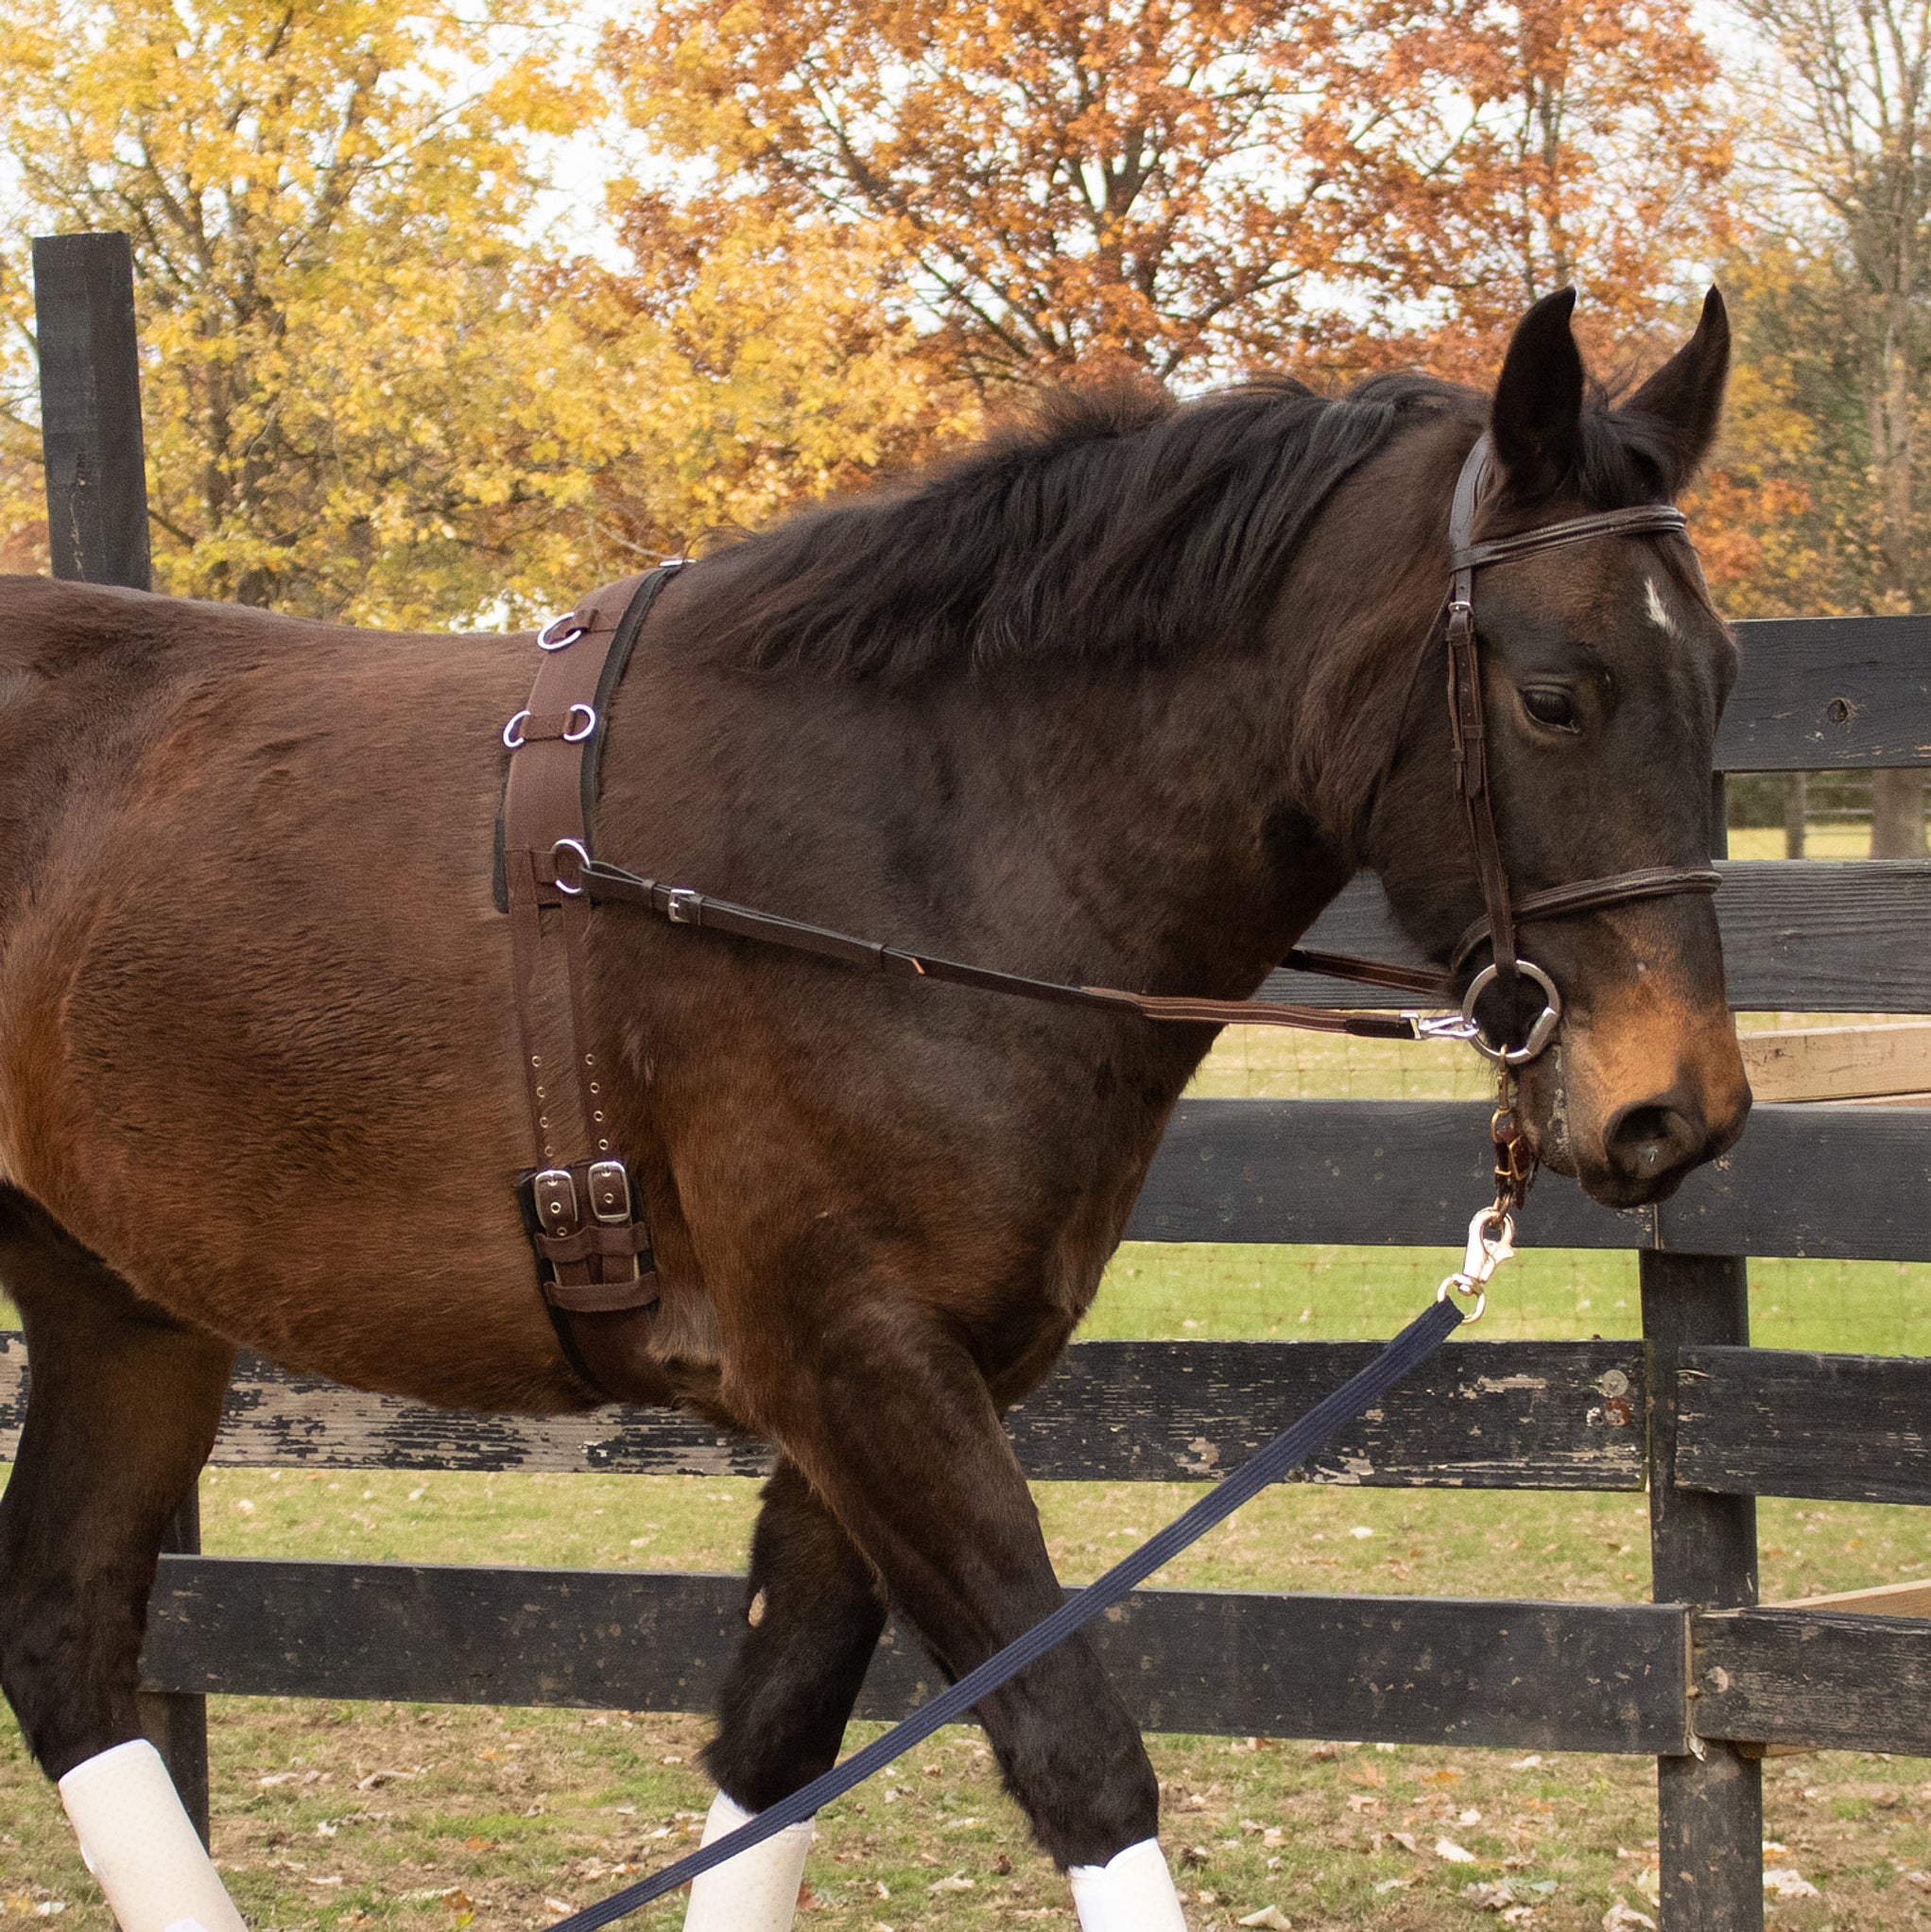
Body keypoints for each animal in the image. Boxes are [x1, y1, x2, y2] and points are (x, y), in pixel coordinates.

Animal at [0, 286, 1748, 1932]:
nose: (1678, 1108)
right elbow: (1076, 1757)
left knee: (61, 1632)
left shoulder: (882, 1386)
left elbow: (774, 1744)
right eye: (1552, 695)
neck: (911, 854)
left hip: (122, 1309)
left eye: (1714, 680)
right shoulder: (860, 1370)